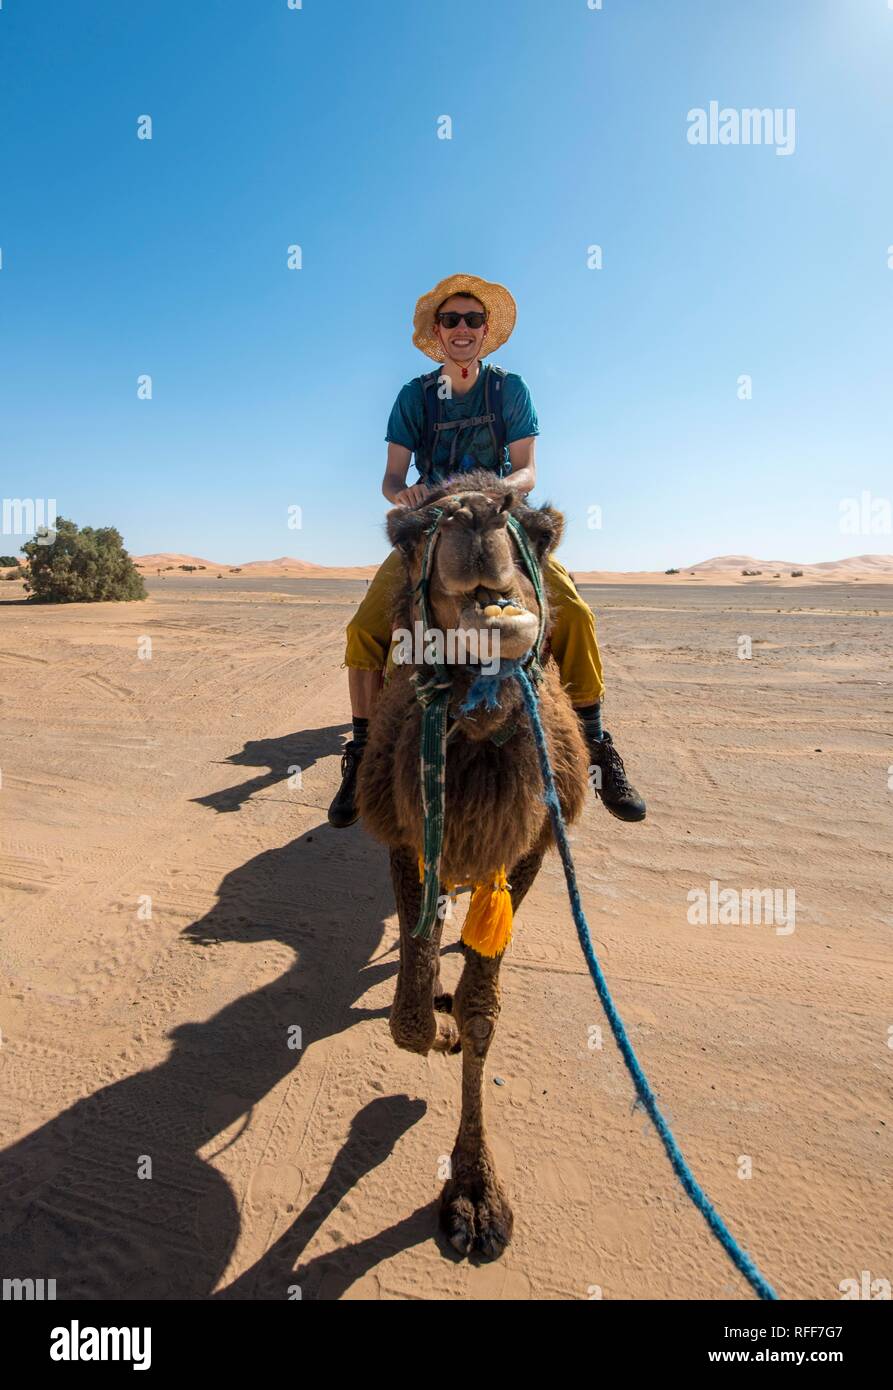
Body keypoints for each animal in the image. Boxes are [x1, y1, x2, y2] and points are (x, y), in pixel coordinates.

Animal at [357, 471, 588, 1258]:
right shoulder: (402, 832)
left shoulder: (532, 842)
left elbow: (484, 1010)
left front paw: (475, 1196)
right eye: (406, 535)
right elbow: (407, 1016)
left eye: (542, 533)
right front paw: (438, 1023)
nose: (476, 515)